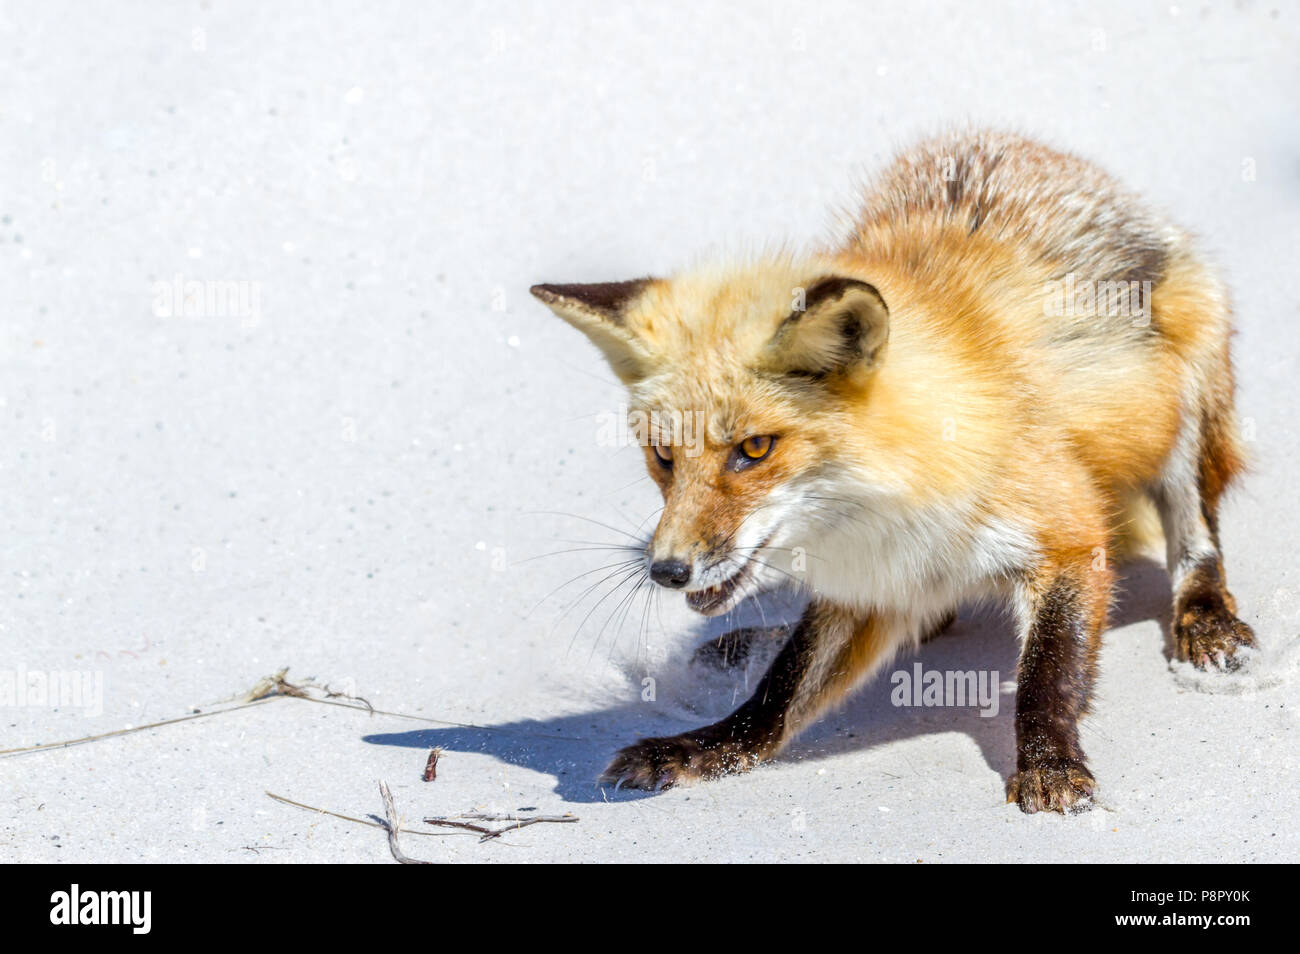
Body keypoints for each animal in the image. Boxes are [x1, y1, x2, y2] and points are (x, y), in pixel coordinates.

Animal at [530, 127, 1258, 816]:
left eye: (756, 449)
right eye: (662, 455)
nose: (667, 570)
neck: (895, 505)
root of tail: (1058, 160)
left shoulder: (1068, 532)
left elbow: (1047, 675)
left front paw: (1050, 766)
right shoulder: (870, 587)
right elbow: (778, 693)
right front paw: (703, 748)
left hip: (1190, 400)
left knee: (1197, 538)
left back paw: (1206, 618)